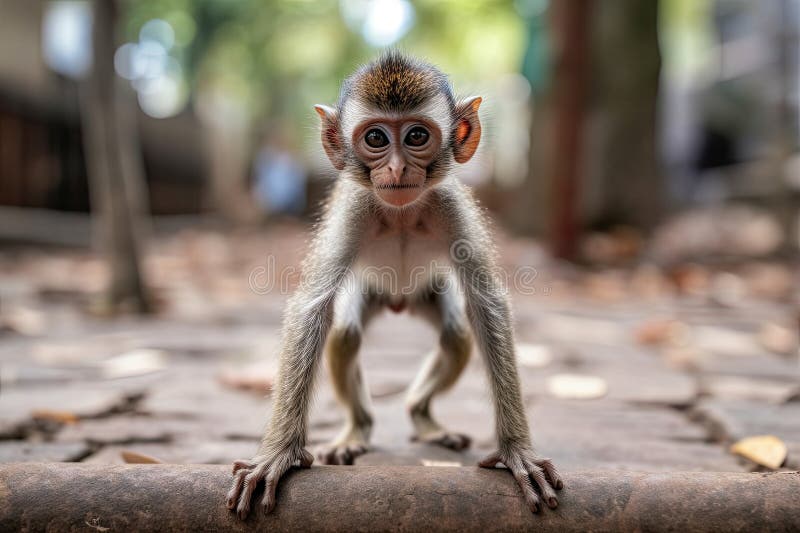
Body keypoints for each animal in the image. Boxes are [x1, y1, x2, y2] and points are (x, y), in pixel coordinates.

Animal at [227, 52, 562, 519]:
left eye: (417, 135)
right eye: (376, 138)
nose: (397, 167)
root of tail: (399, 302)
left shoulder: (450, 205)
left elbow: (486, 303)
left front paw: (516, 451)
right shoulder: (355, 206)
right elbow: (313, 304)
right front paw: (279, 453)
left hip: (428, 295)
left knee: (456, 336)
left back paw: (425, 420)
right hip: (370, 295)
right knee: (345, 335)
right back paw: (356, 432)